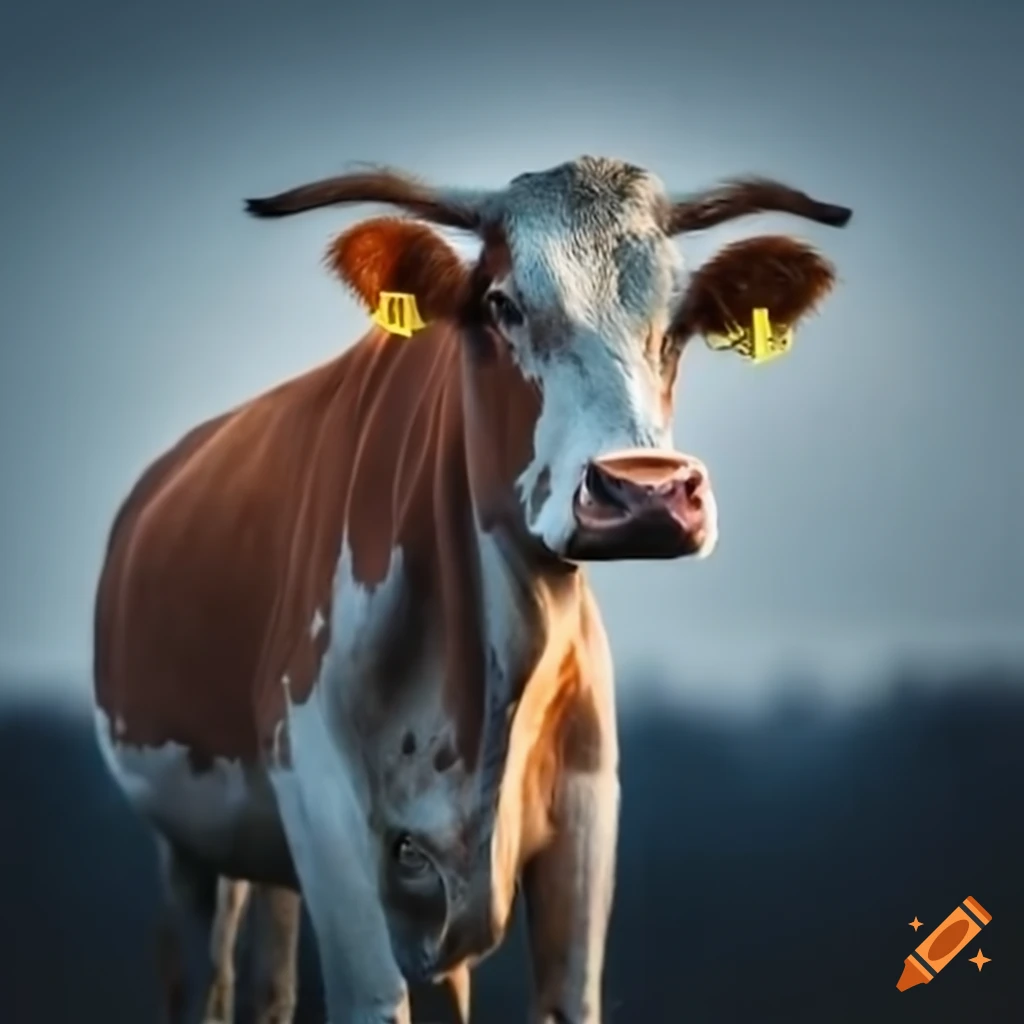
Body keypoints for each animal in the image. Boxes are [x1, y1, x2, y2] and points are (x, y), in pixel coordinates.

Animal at [92, 154, 850, 1024]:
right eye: (502, 304)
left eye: (681, 317)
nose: (645, 494)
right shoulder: (323, 803)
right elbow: (369, 993)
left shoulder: (585, 812)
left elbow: (566, 993)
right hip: (188, 850)